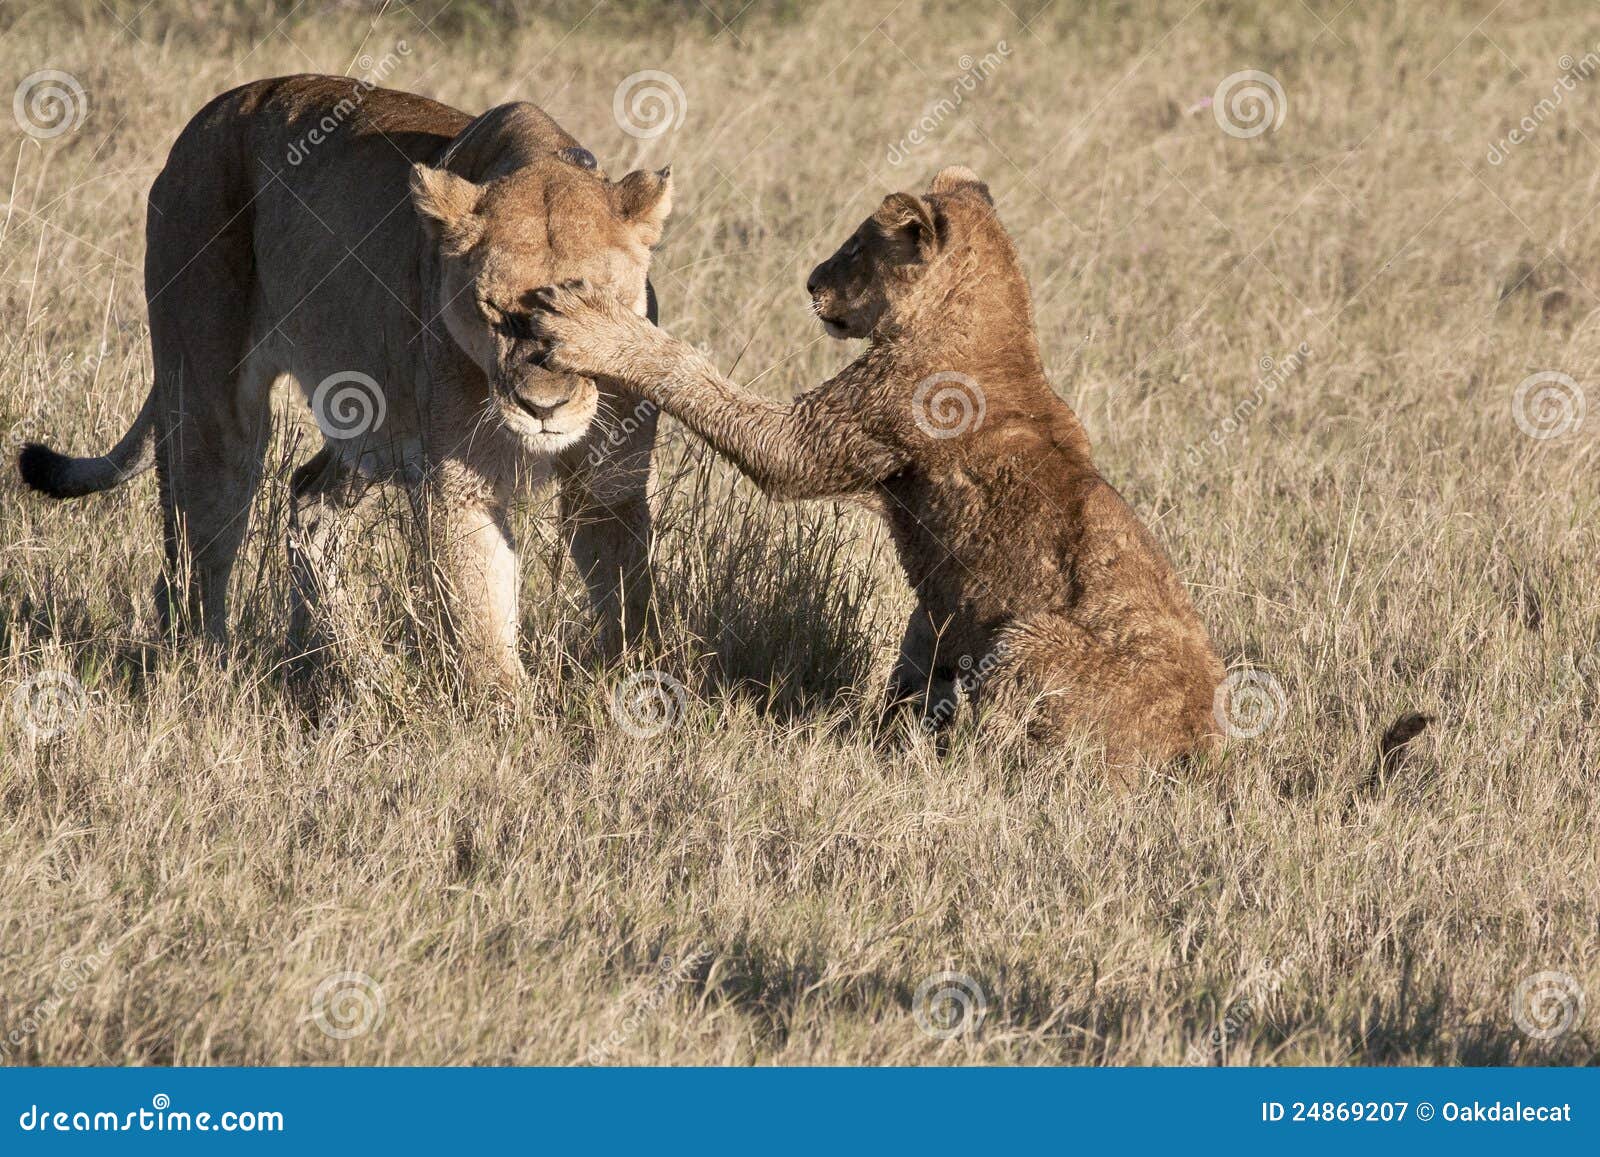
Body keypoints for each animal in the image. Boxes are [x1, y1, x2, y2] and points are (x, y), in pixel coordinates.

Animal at [16, 76, 673, 691]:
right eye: (491, 309)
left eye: (591, 307)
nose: (544, 406)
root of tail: (206, 118)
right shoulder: (458, 486)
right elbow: (482, 616)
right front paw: (508, 716)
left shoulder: (610, 480)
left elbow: (626, 589)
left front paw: (638, 677)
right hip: (208, 394)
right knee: (198, 541)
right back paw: (208, 668)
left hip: (367, 416)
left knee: (307, 498)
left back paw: (330, 657)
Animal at [527, 166, 1225, 774]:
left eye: (859, 246)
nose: (811, 283)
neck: (993, 331)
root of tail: (1203, 737)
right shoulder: (939, 587)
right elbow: (921, 645)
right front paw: (883, 723)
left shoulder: (823, 437)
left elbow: (699, 380)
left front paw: (596, 328)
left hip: (1026, 638)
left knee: (1009, 757)